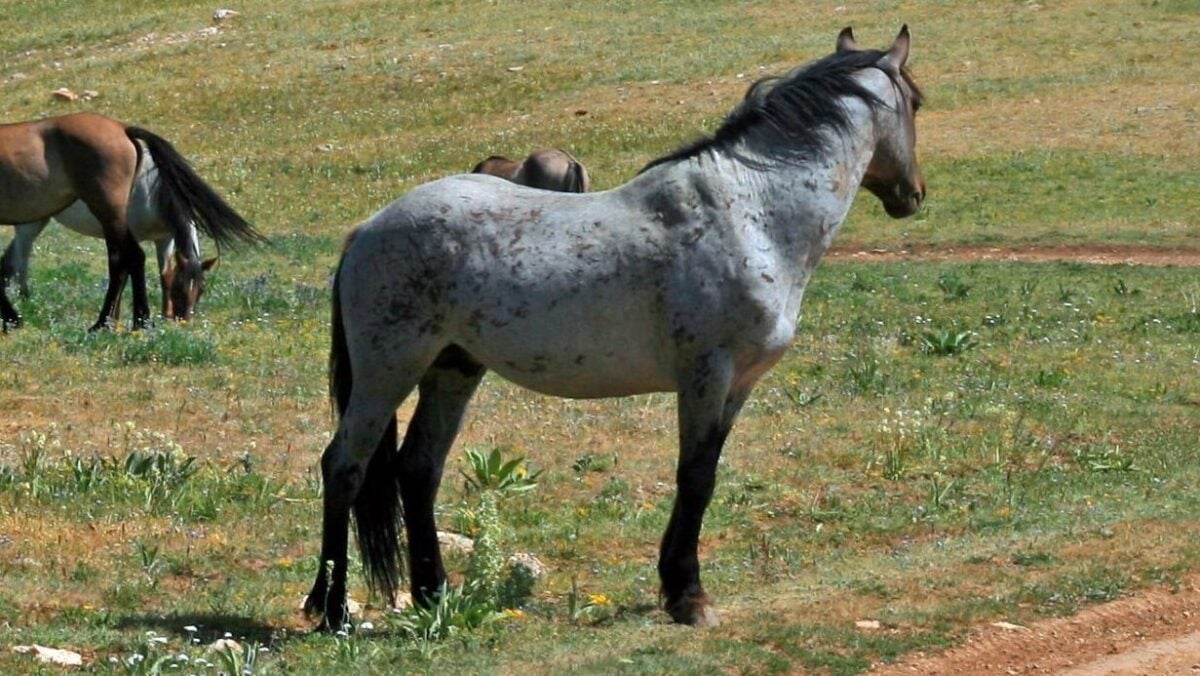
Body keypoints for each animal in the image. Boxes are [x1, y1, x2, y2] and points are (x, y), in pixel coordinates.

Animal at [0, 146, 210, 320]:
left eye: (201, 291)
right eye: (179, 289)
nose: (184, 320)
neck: (154, 189)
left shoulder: (165, 239)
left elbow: (165, 275)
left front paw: (165, 315)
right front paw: (113, 318)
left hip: (41, 219)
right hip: (29, 224)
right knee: (22, 257)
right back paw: (25, 298)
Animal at [304, 25, 924, 630]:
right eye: (916, 102)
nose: (913, 194)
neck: (749, 213)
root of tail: (367, 228)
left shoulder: (738, 386)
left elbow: (702, 474)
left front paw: (675, 588)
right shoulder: (707, 377)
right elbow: (696, 478)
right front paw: (689, 598)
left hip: (453, 369)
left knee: (418, 468)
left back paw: (434, 596)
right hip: (389, 369)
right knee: (345, 465)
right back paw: (331, 608)